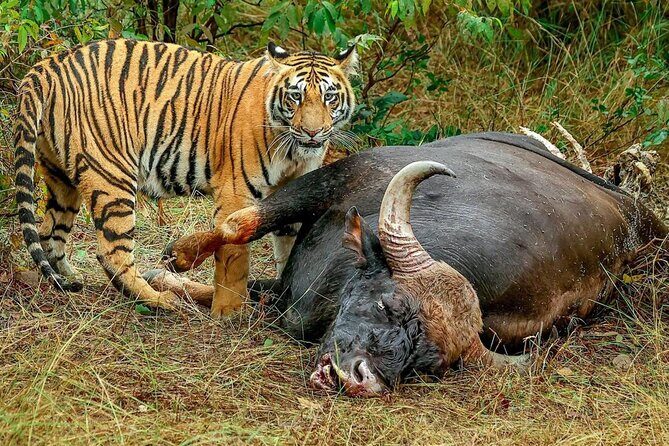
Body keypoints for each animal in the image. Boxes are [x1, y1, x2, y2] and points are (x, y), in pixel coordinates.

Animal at [14, 39, 358, 317]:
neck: (292, 151)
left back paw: (69, 279)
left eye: (329, 97)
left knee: (49, 232)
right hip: (111, 174)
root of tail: (48, 65)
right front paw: (229, 312)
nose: (313, 132)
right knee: (111, 251)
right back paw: (159, 301)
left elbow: (290, 247)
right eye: (294, 97)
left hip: (60, 178)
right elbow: (234, 253)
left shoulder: (296, 188)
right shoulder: (236, 192)